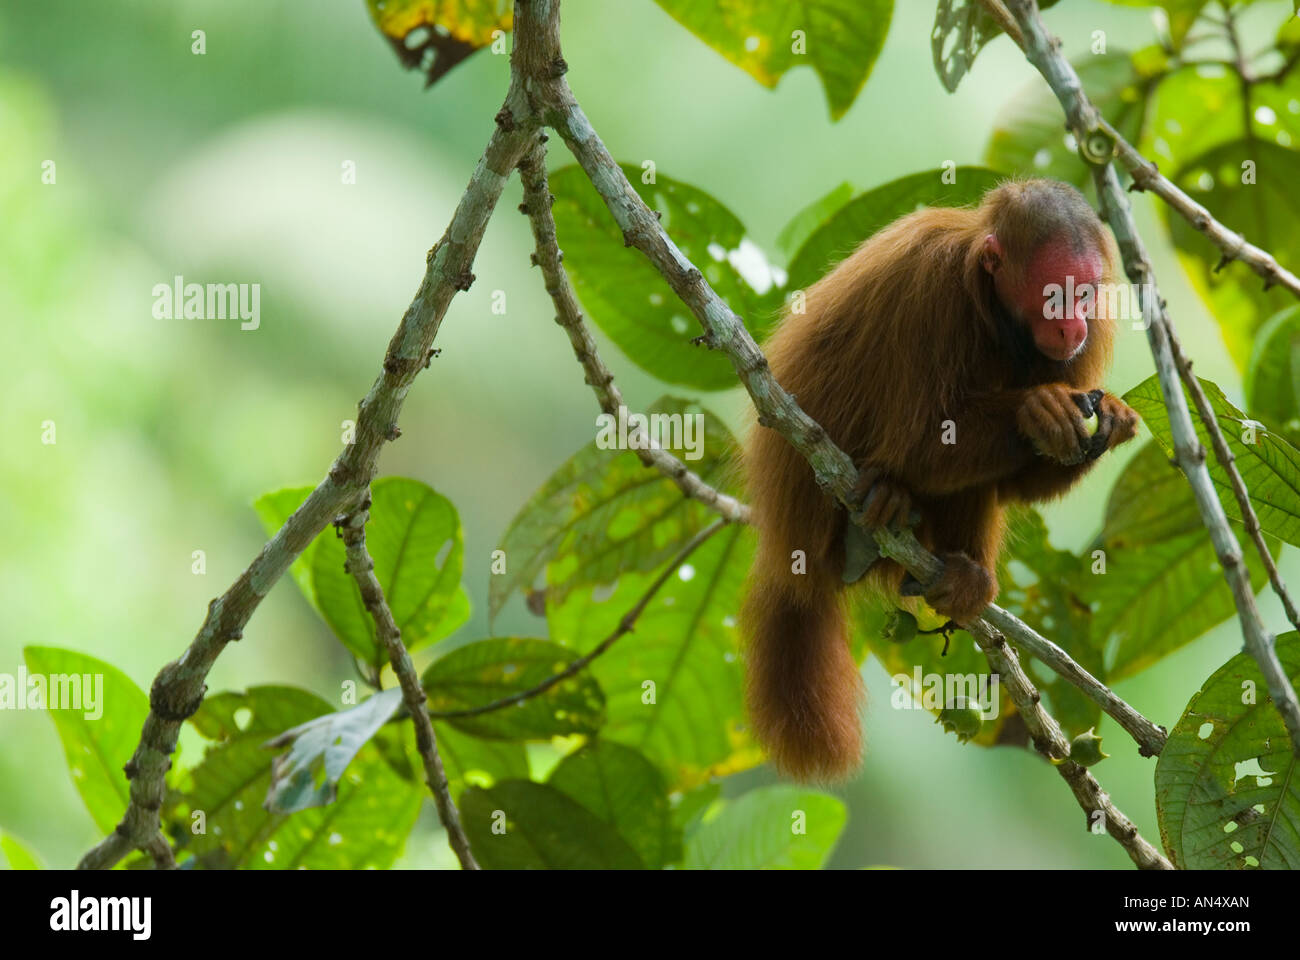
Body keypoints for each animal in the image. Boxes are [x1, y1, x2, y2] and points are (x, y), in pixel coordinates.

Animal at [740, 178, 1140, 783]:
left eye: (1087, 296)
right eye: (1054, 298)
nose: (1073, 326)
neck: (991, 308)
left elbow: (1020, 488)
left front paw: (1108, 421)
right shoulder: (928, 287)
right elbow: (923, 438)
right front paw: (1038, 411)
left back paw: (959, 576)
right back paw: (881, 508)